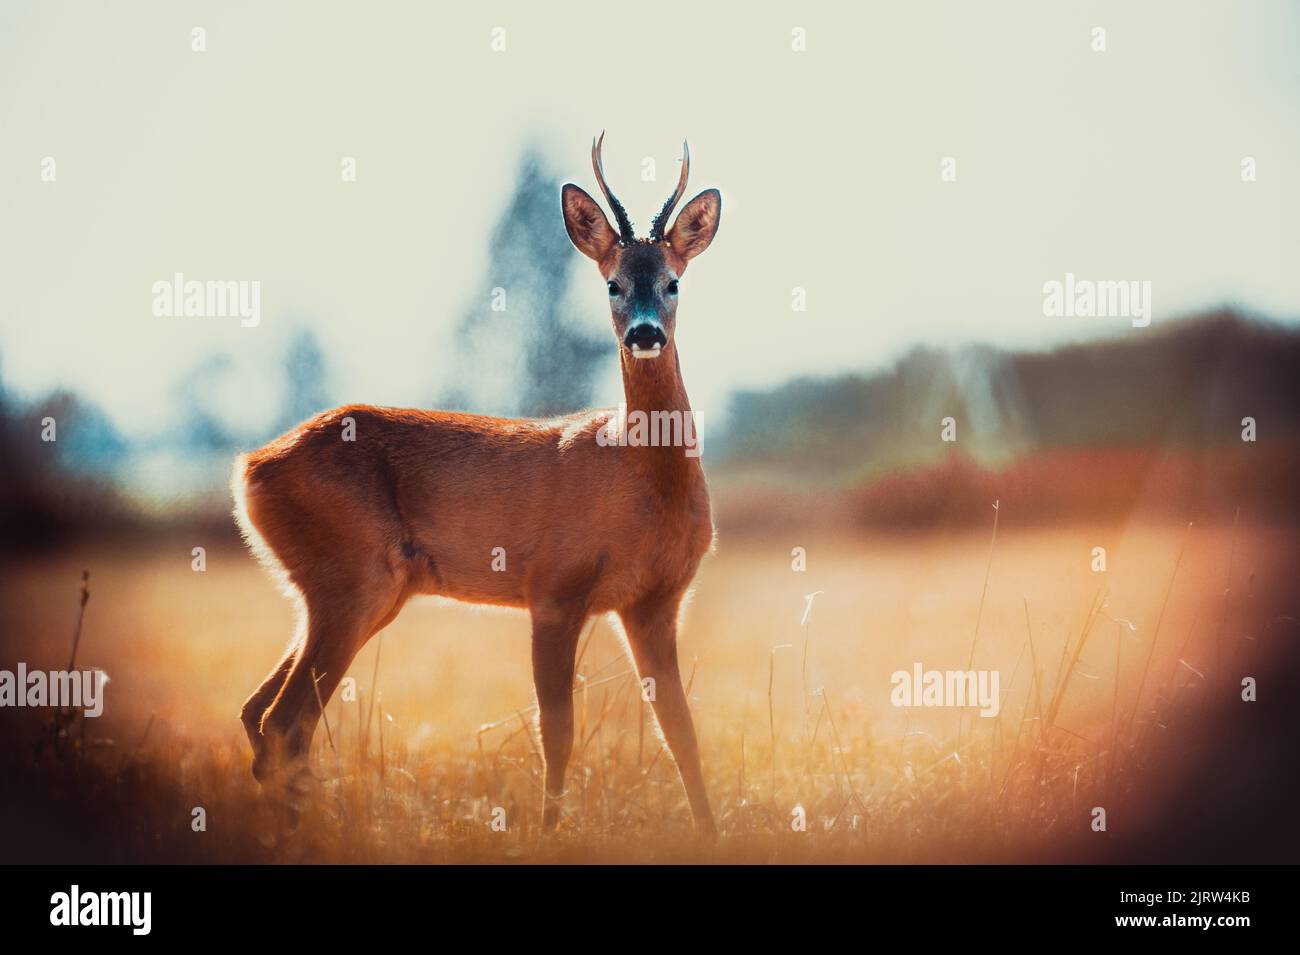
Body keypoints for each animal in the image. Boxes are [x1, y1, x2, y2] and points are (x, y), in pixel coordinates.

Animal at [232, 134, 721, 835]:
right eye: (613, 284)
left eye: (673, 281)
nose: (645, 333)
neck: (645, 478)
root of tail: (250, 467)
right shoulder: (554, 589)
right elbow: (557, 733)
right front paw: (548, 836)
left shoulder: (655, 601)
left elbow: (681, 733)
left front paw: (711, 834)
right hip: (353, 580)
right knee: (284, 721)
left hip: (361, 594)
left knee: (258, 712)